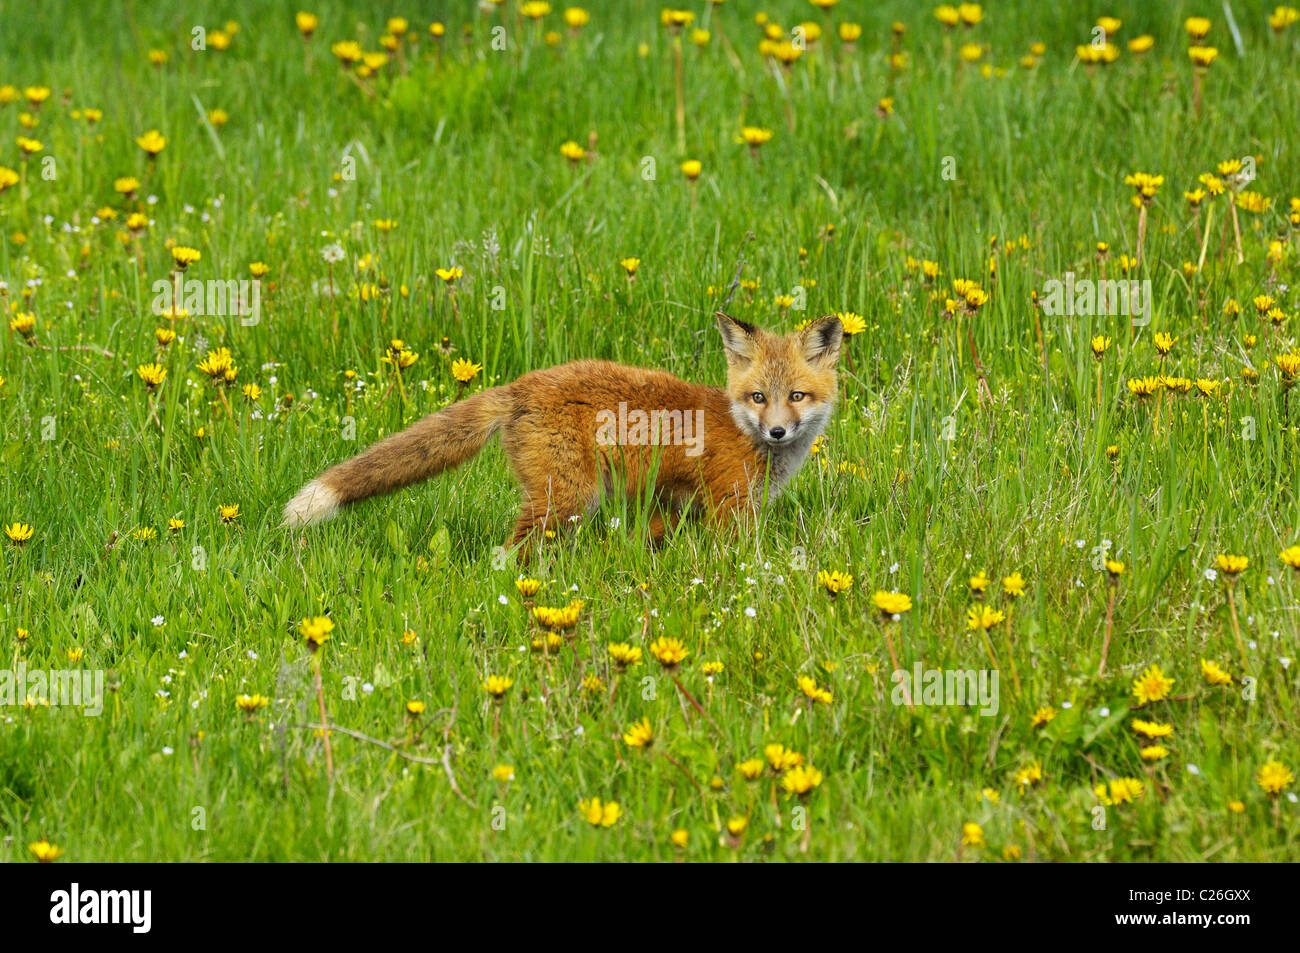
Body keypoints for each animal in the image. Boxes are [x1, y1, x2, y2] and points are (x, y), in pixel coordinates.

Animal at [282, 312, 843, 554]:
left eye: (797, 396)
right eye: (758, 397)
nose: (776, 432)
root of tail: (520, 385)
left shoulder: (672, 504)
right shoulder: (731, 506)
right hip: (569, 496)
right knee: (508, 552)